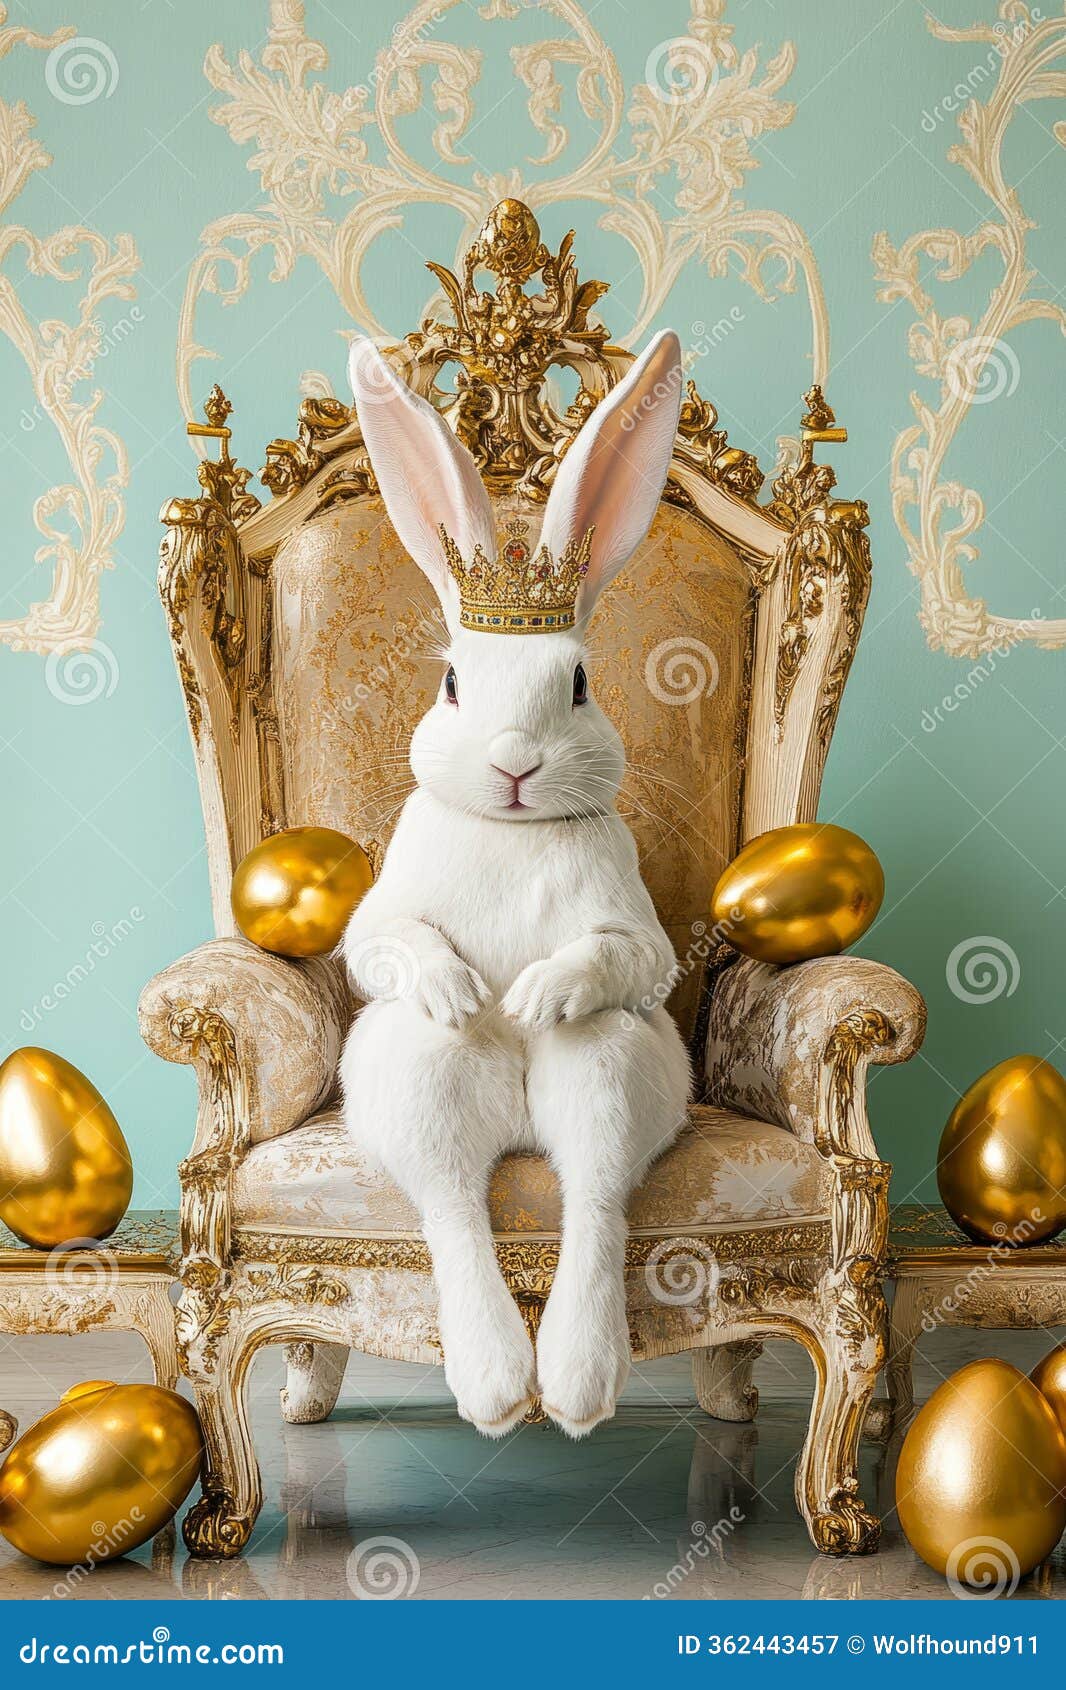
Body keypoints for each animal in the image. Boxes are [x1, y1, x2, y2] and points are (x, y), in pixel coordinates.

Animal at [339, 329, 692, 1439]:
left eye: (577, 684)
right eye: (453, 682)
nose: (514, 766)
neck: (511, 831)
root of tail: (520, 1133)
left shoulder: (628, 925)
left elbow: (632, 957)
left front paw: (536, 989)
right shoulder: (389, 909)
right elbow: (382, 944)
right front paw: (464, 984)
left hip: (615, 1064)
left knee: (595, 1194)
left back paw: (569, 1381)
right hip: (420, 1073)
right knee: (453, 1202)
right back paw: (499, 1383)